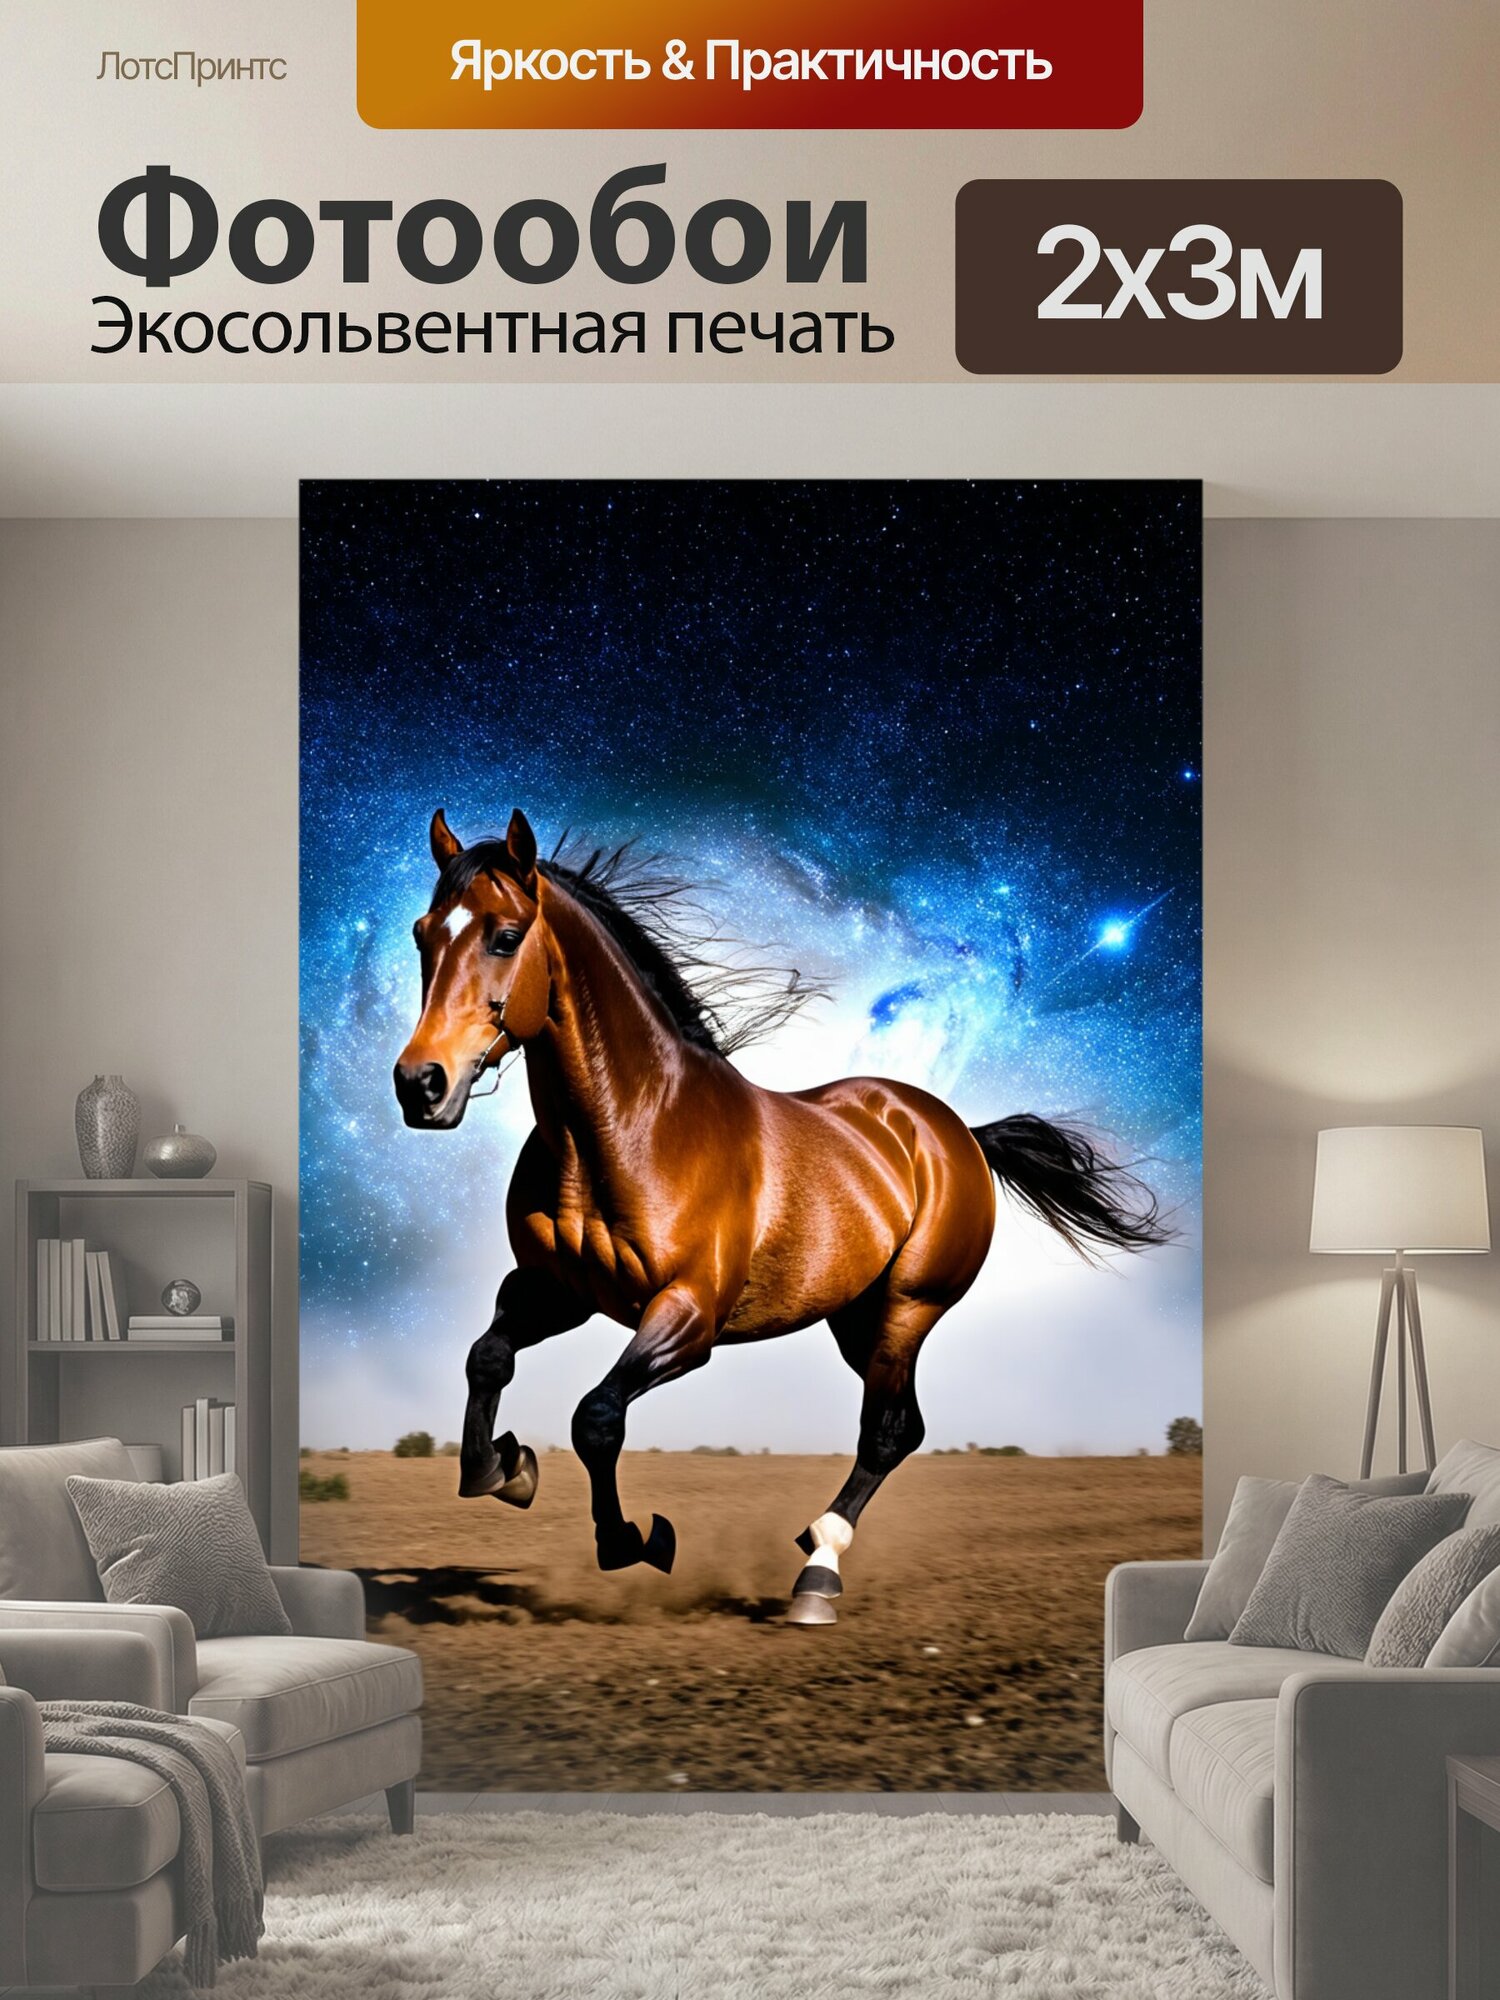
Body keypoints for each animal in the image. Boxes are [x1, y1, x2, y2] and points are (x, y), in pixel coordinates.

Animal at [393, 807, 1171, 1624]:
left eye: (506, 935)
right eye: (423, 933)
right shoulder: (556, 1291)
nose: (421, 1084)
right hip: (856, 1319)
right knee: (905, 1426)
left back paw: (818, 1575)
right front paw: (504, 1469)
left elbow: (596, 1416)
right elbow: (489, 1358)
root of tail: (955, 1130)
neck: (627, 1128)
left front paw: (634, 1540)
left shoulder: (688, 1316)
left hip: (908, 1308)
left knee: (885, 1431)